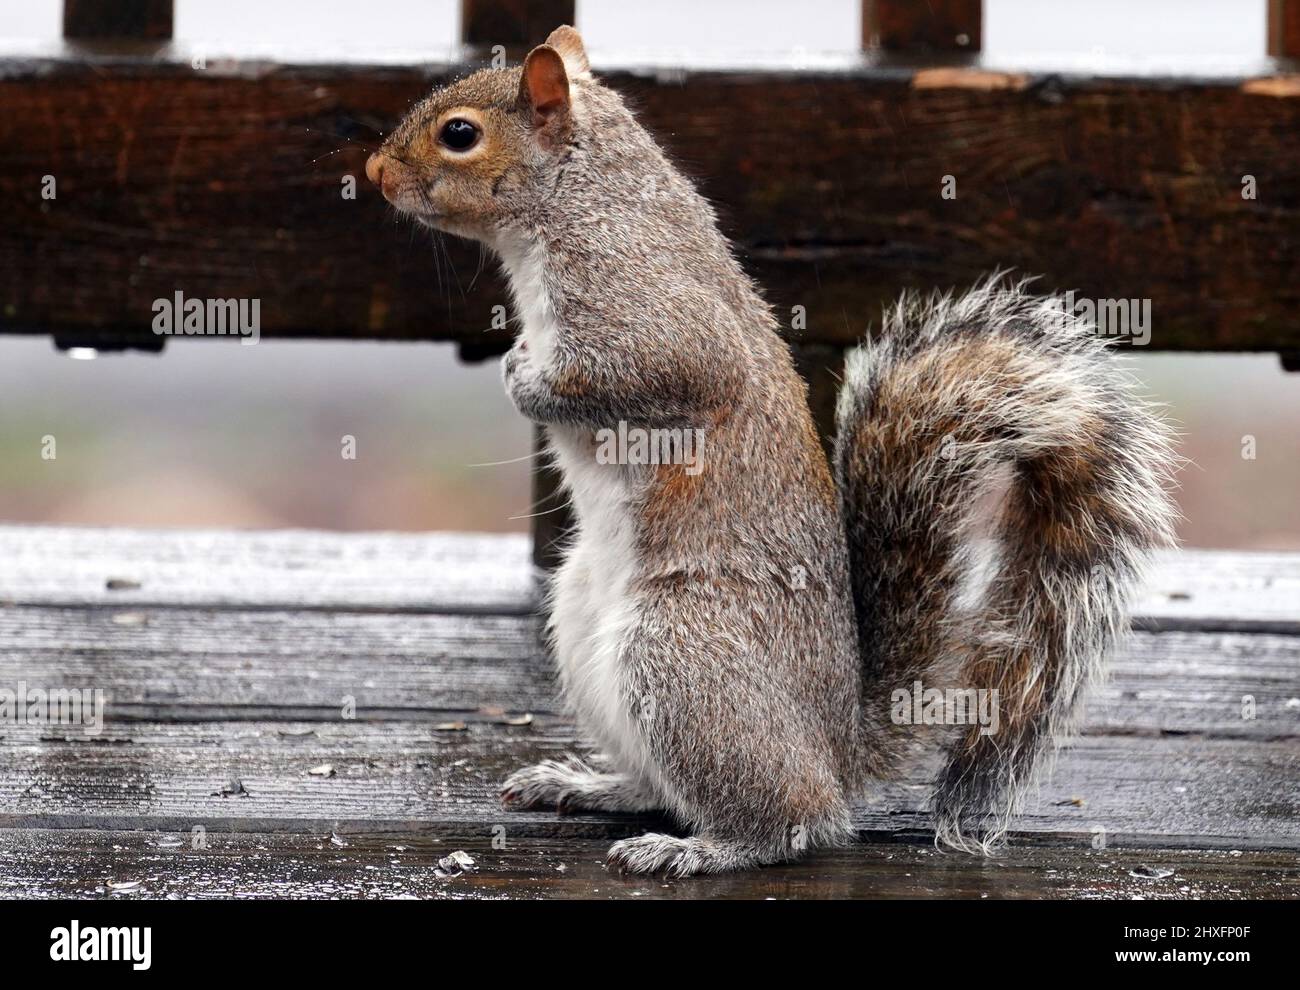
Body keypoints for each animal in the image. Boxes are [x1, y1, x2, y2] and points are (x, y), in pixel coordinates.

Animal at [365, 26, 1178, 876]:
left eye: (459, 134)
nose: (375, 173)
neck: (581, 199)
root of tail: (837, 750)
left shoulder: (648, 311)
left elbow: (645, 374)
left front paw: (524, 377)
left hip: (682, 654)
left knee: (792, 821)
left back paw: (702, 848)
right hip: (585, 624)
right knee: (663, 782)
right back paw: (591, 785)